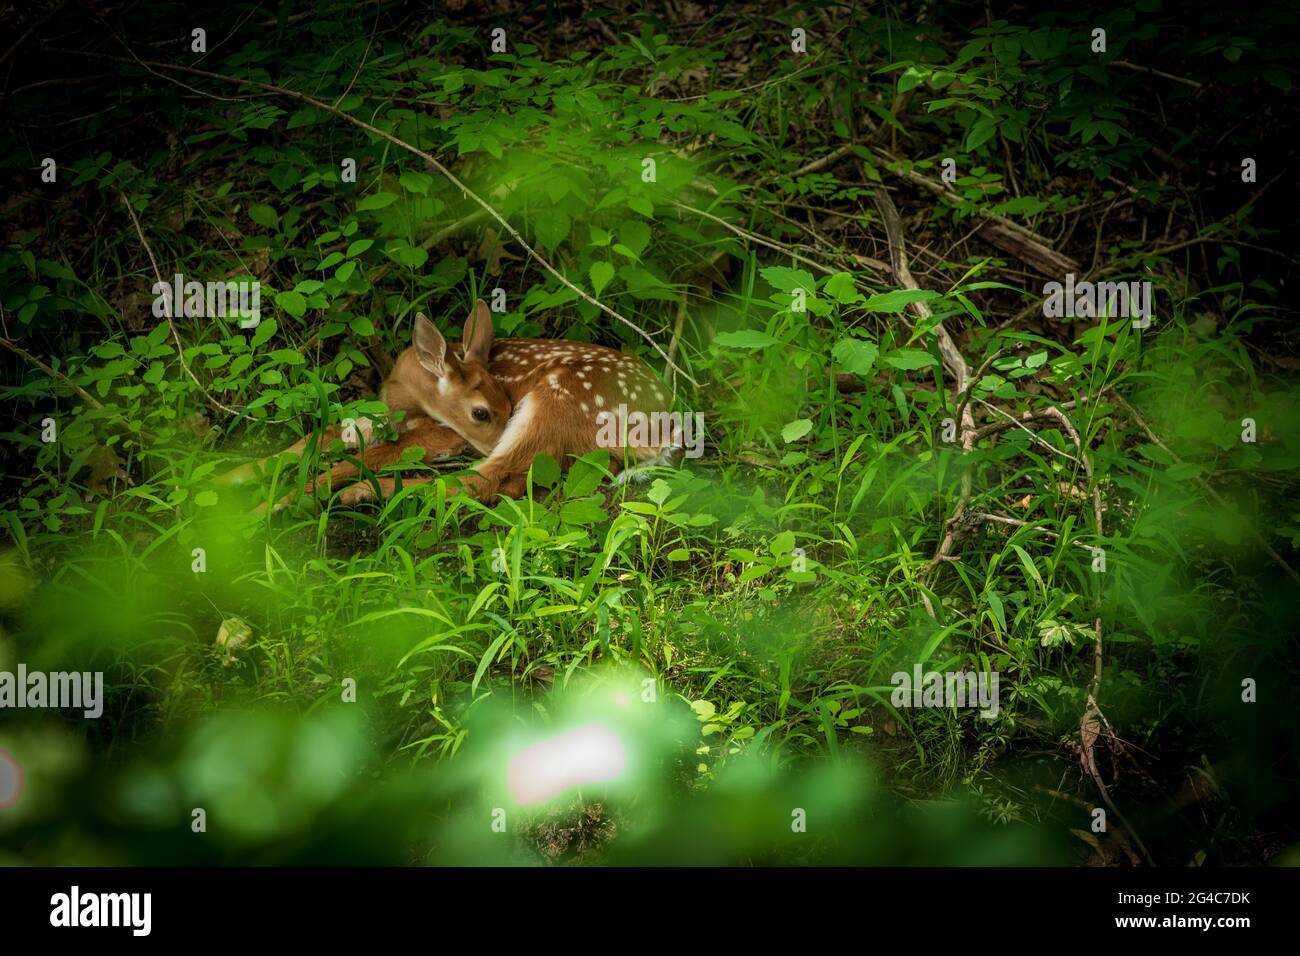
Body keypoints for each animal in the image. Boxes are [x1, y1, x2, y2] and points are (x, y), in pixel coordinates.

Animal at [220, 299, 686, 509]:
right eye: (481, 411)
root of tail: (664, 431)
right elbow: (317, 438)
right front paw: (228, 477)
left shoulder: (442, 433)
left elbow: (359, 458)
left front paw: (272, 505)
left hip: (558, 400)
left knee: (484, 480)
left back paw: (359, 494)